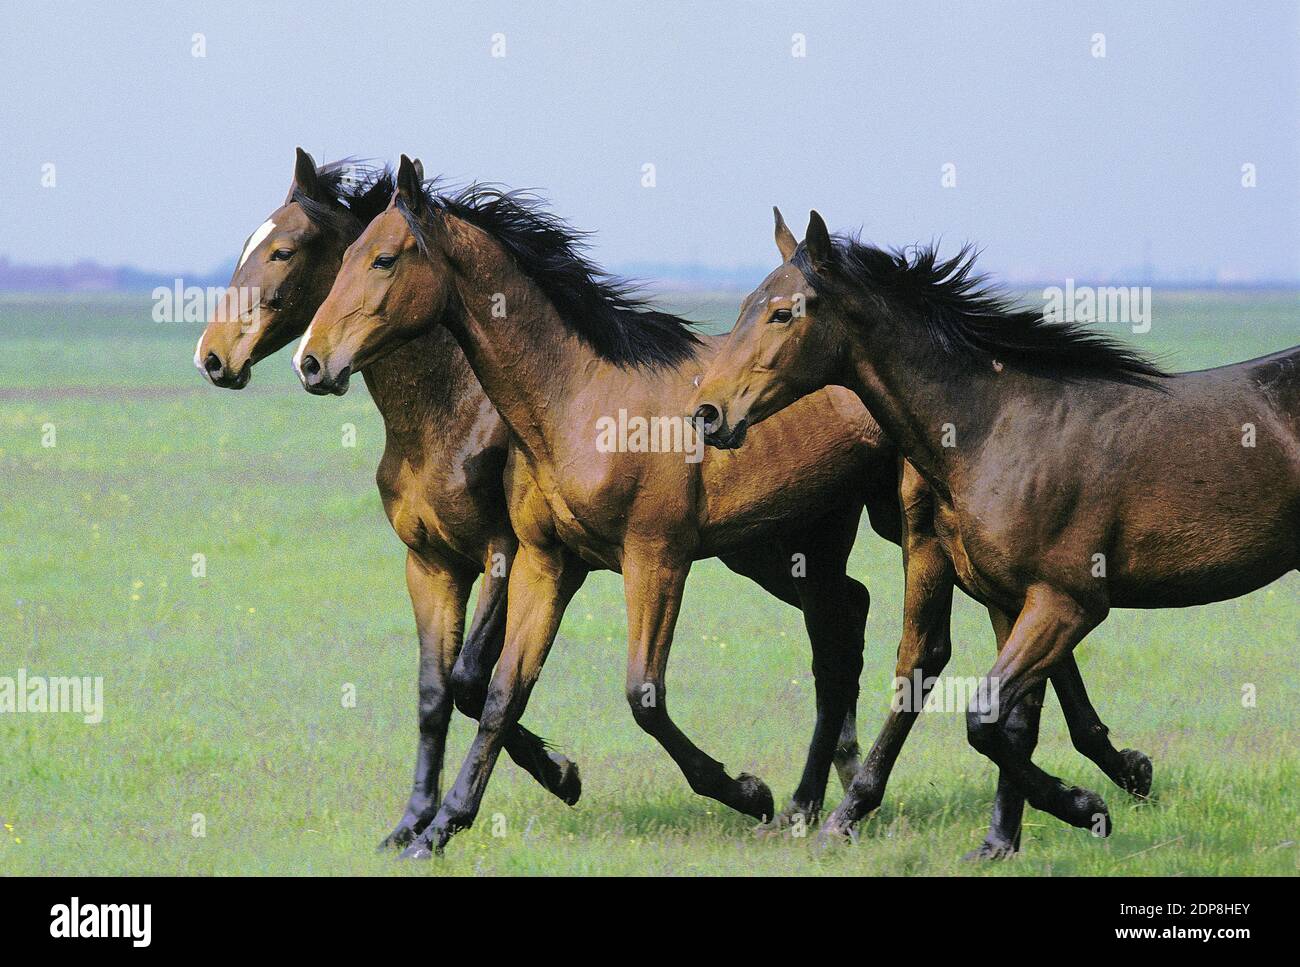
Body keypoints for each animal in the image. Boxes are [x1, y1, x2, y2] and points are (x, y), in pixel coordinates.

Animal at [195, 148, 580, 850]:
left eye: (283, 251)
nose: (211, 356)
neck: (450, 412)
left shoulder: (504, 554)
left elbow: (473, 683)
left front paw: (561, 774)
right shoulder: (431, 563)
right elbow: (435, 693)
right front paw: (411, 822)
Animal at [293, 156, 1149, 858]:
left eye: (383, 257)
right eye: (342, 258)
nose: (311, 361)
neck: (579, 400)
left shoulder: (656, 556)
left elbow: (642, 694)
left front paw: (744, 790)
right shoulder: (548, 562)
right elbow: (501, 691)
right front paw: (441, 827)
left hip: (908, 531)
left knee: (939, 644)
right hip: (805, 543)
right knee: (853, 640)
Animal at [690, 208, 1299, 854]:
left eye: (783, 312)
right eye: (744, 305)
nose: (707, 413)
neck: (995, 428)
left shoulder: (1067, 603)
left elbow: (984, 719)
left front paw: (1087, 805)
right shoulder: (1009, 600)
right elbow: (1010, 723)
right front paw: (1001, 840)